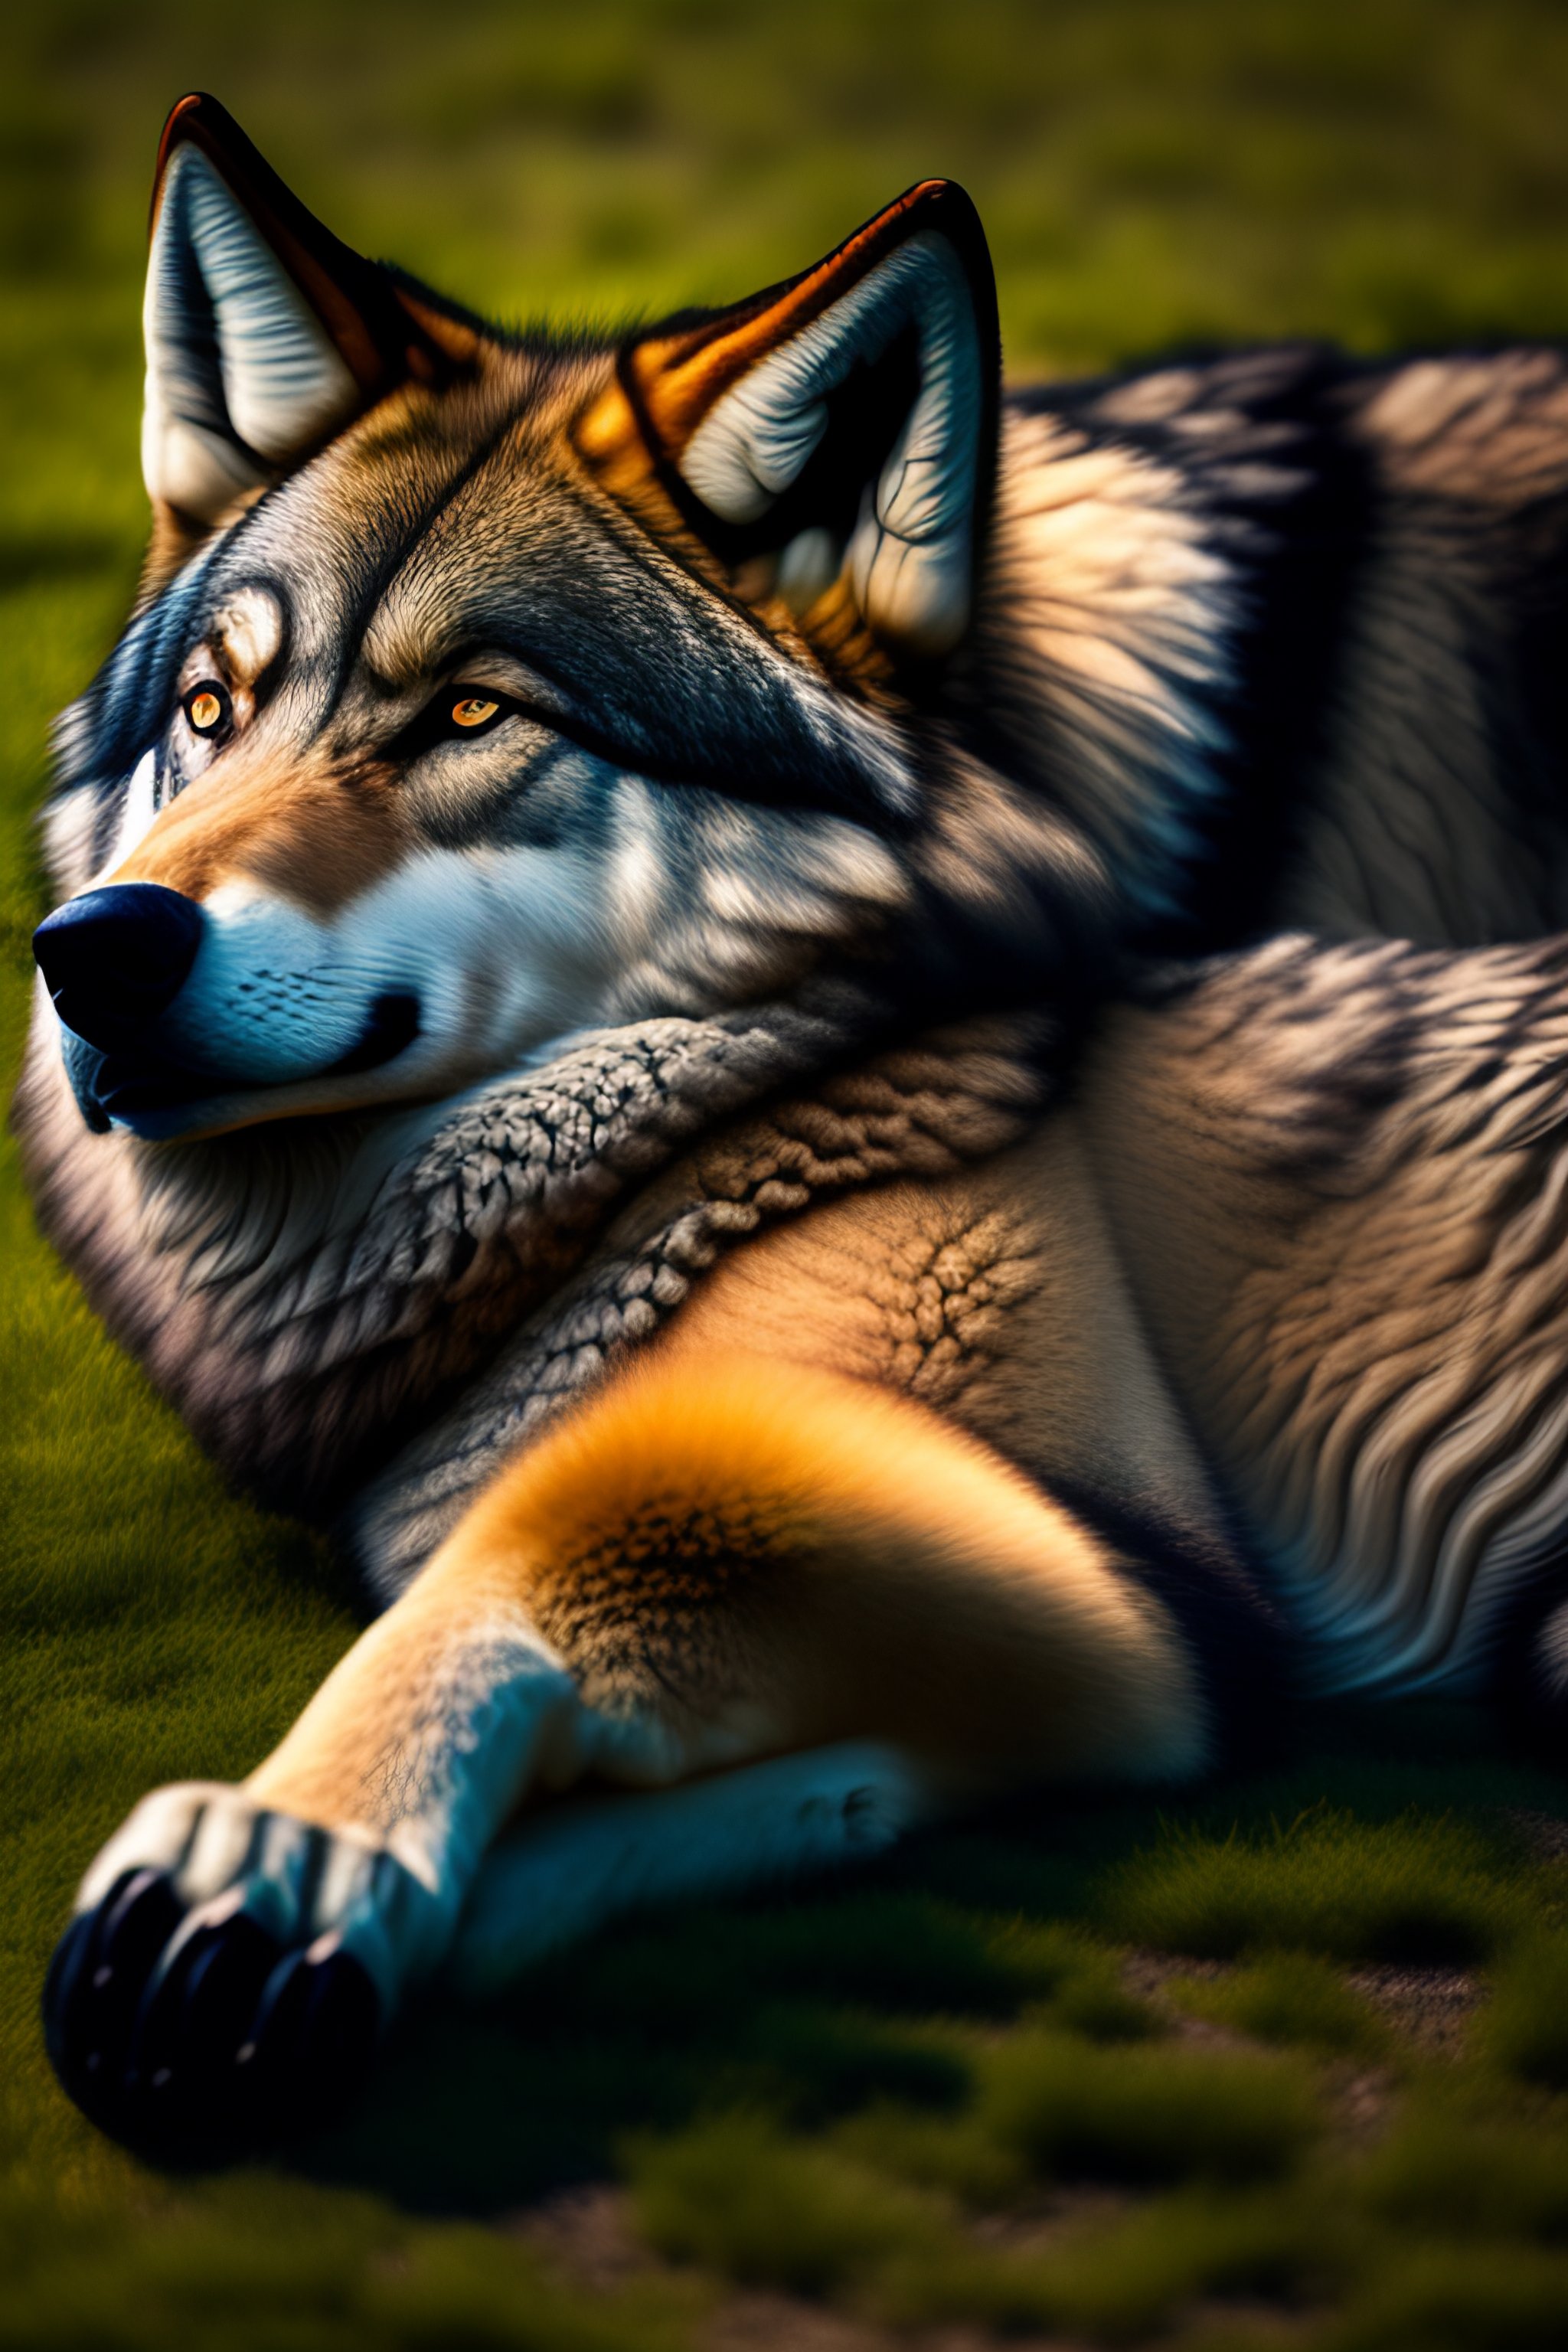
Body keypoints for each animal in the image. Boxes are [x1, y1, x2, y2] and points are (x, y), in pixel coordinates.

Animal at [18, 93, 1568, 2157]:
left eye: (471, 714)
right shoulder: (1089, 1640)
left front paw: (269, 1851)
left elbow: (562, 1519)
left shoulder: (1092, 1536)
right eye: (212, 705)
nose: (91, 954)